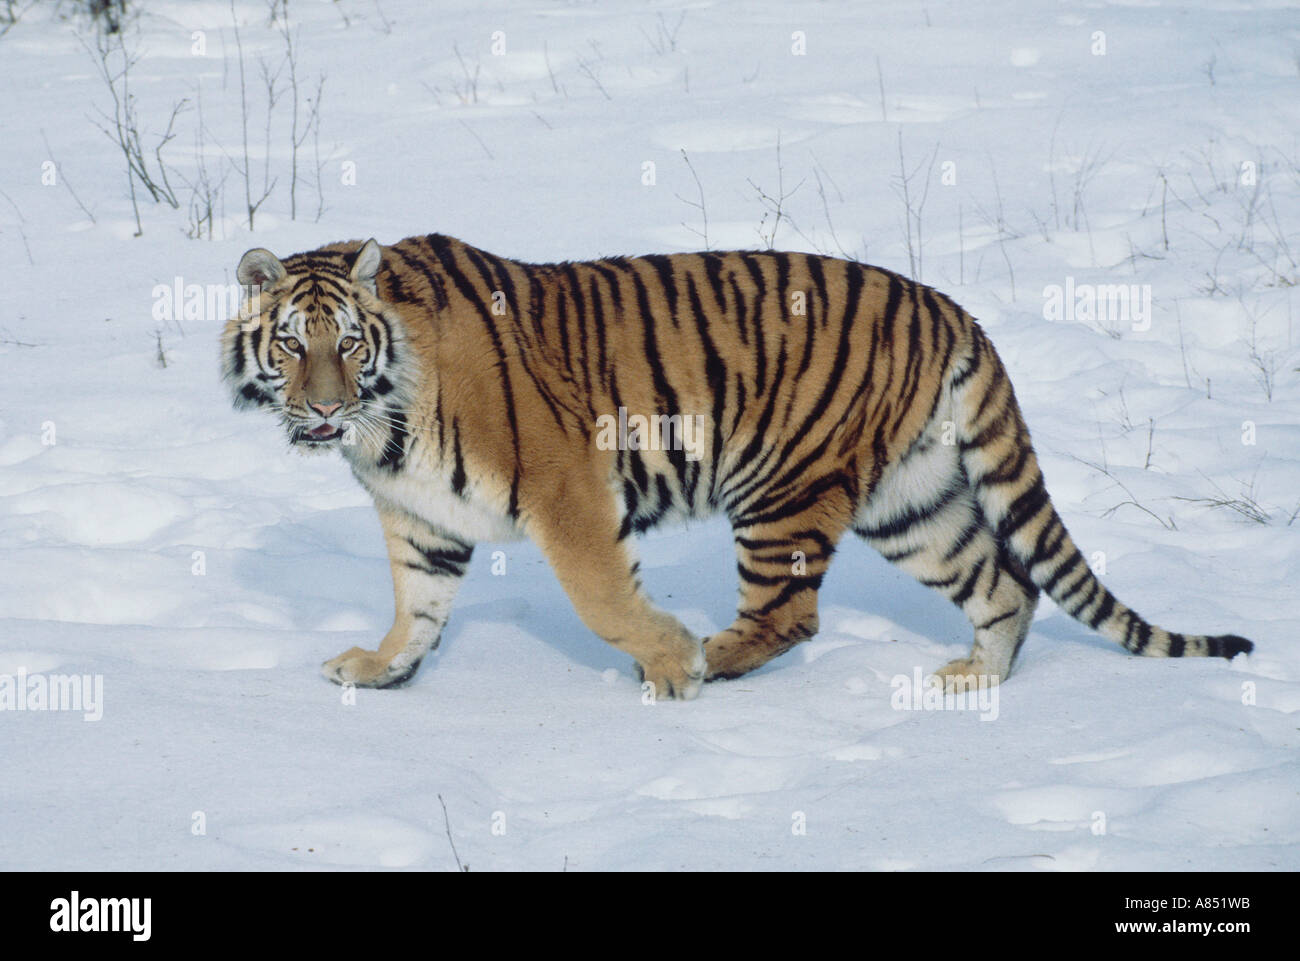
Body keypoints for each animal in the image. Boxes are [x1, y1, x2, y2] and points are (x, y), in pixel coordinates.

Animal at [220, 234, 1253, 700]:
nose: (323, 408)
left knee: (791, 615)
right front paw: (380, 668)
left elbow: (603, 596)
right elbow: (418, 603)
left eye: (350, 344)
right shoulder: (422, 516)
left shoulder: (567, 487)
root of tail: (949, 307)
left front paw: (668, 656)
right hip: (914, 501)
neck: (383, 428)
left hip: (782, 492)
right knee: (1006, 581)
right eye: (294, 343)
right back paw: (973, 680)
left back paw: (710, 656)